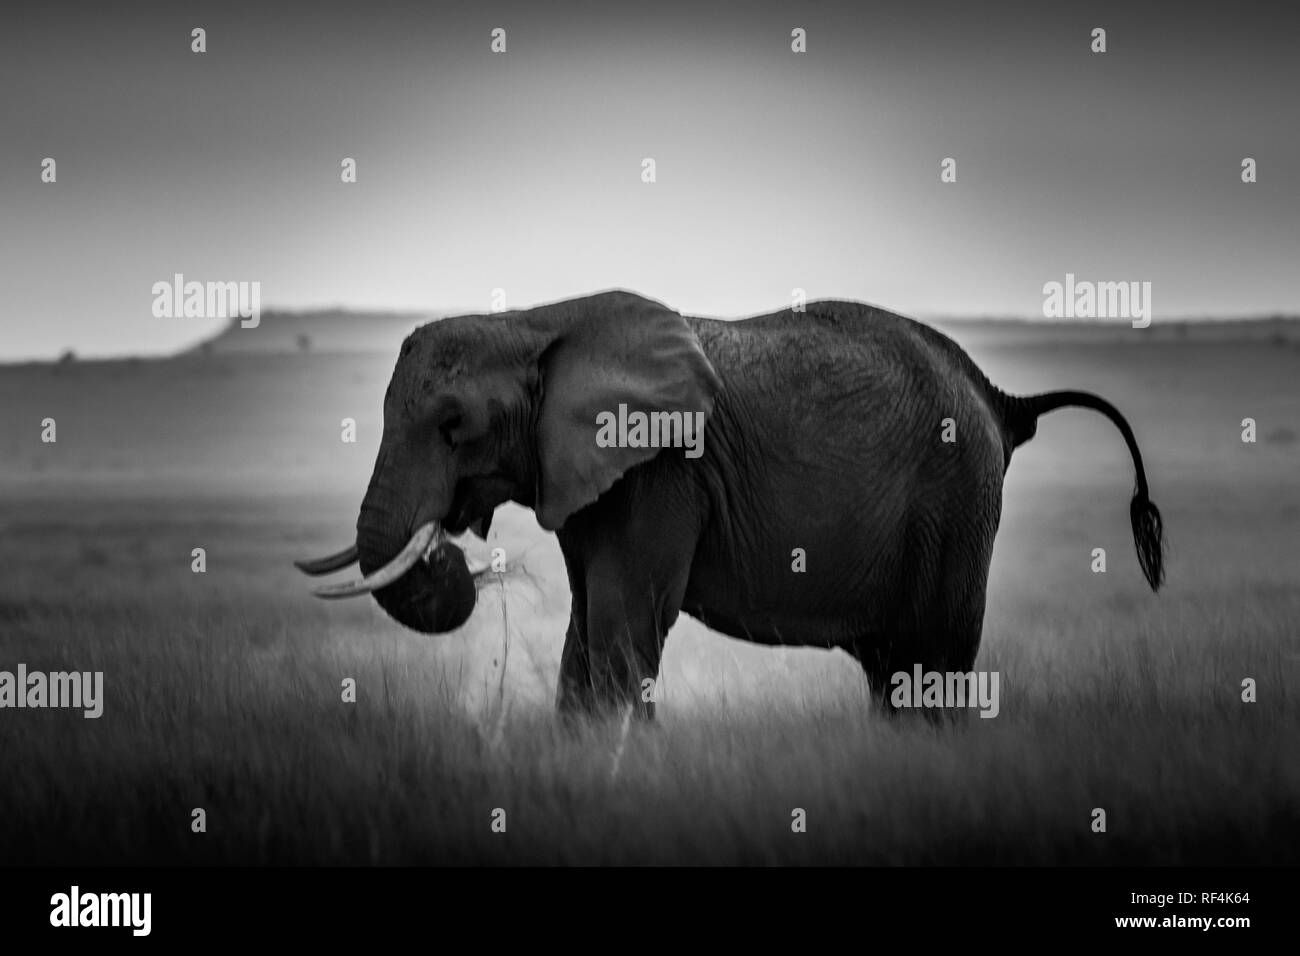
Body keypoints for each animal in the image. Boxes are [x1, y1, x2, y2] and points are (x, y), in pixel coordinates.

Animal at [297, 290, 1163, 719]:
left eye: (453, 427)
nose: (453, 550)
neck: (534, 321)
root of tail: (1001, 400)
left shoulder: (660, 469)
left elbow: (625, 626)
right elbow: (589, 630)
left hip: (955, 503)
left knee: (929, 668)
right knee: (895, 674)